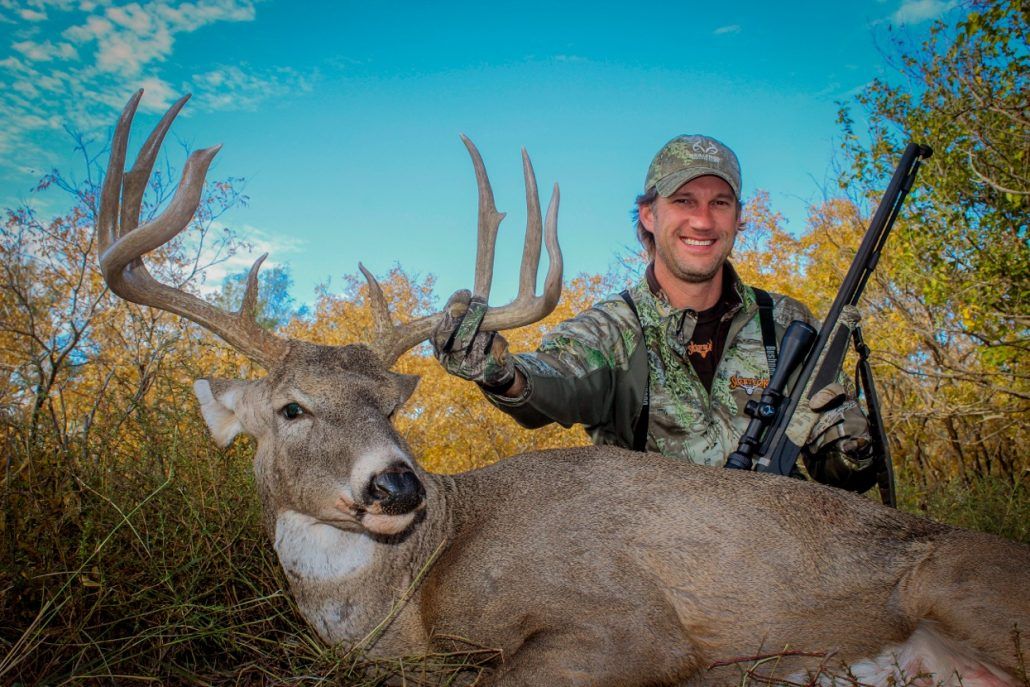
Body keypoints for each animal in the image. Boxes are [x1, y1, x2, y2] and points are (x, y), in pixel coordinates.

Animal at [96, 90, 1029, 687]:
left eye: (391, 407)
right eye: (292, 407)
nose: (397, 483)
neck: (409, 594)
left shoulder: (622, 619)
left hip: (952, 583)